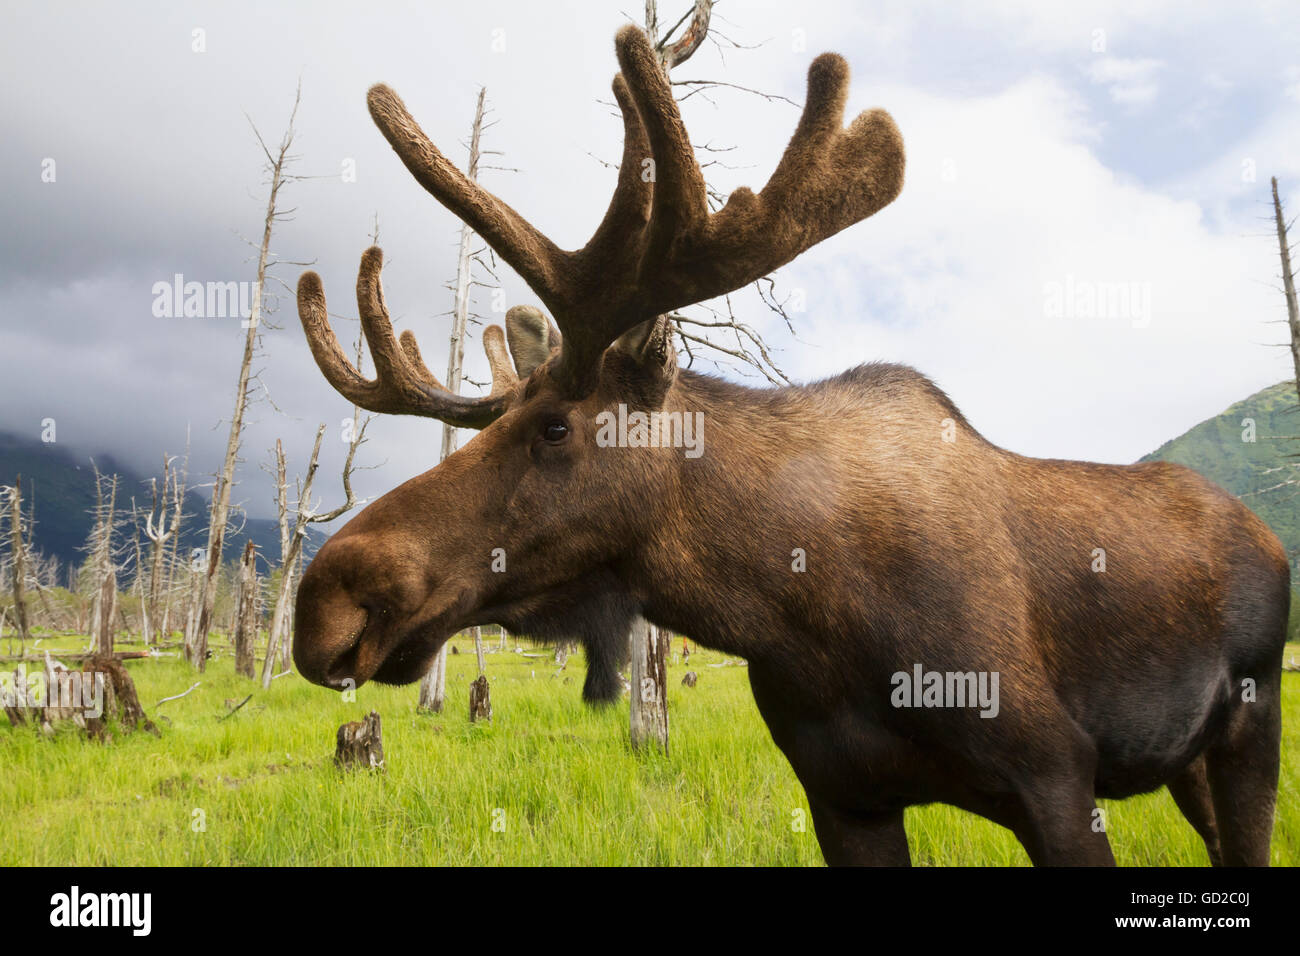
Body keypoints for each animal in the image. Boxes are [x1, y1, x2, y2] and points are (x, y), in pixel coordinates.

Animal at [291, 25, 1288, 866]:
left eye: (555, 428)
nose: (324, 602)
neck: (797, 610)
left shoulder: (1058, 783)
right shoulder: (844, 799)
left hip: (1253, 721)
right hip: (1187, 759)